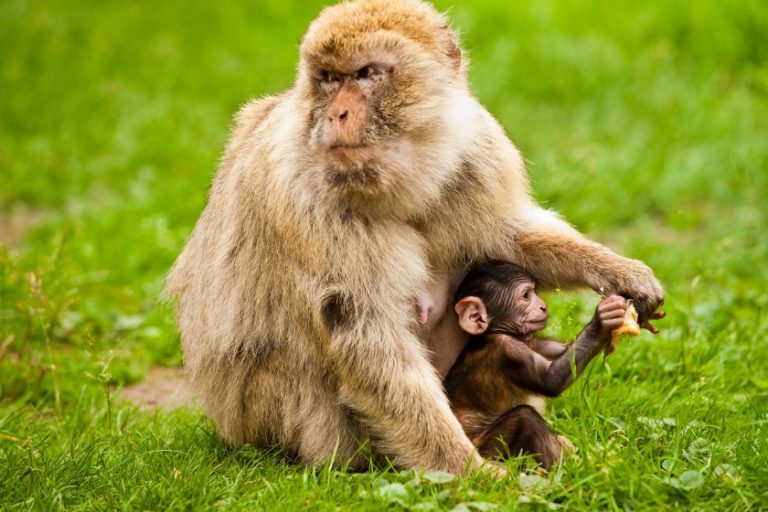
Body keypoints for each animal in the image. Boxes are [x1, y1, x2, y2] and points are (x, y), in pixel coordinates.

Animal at [444, 261, 637, 469]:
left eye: (534, 292)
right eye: (526, 295)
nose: (543, 306)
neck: (494, 332)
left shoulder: (531, 341)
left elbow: (561, 351)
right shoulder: (508, 351)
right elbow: (550, 380)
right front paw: (601, 322)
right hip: (484, 450)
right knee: (525, 418)